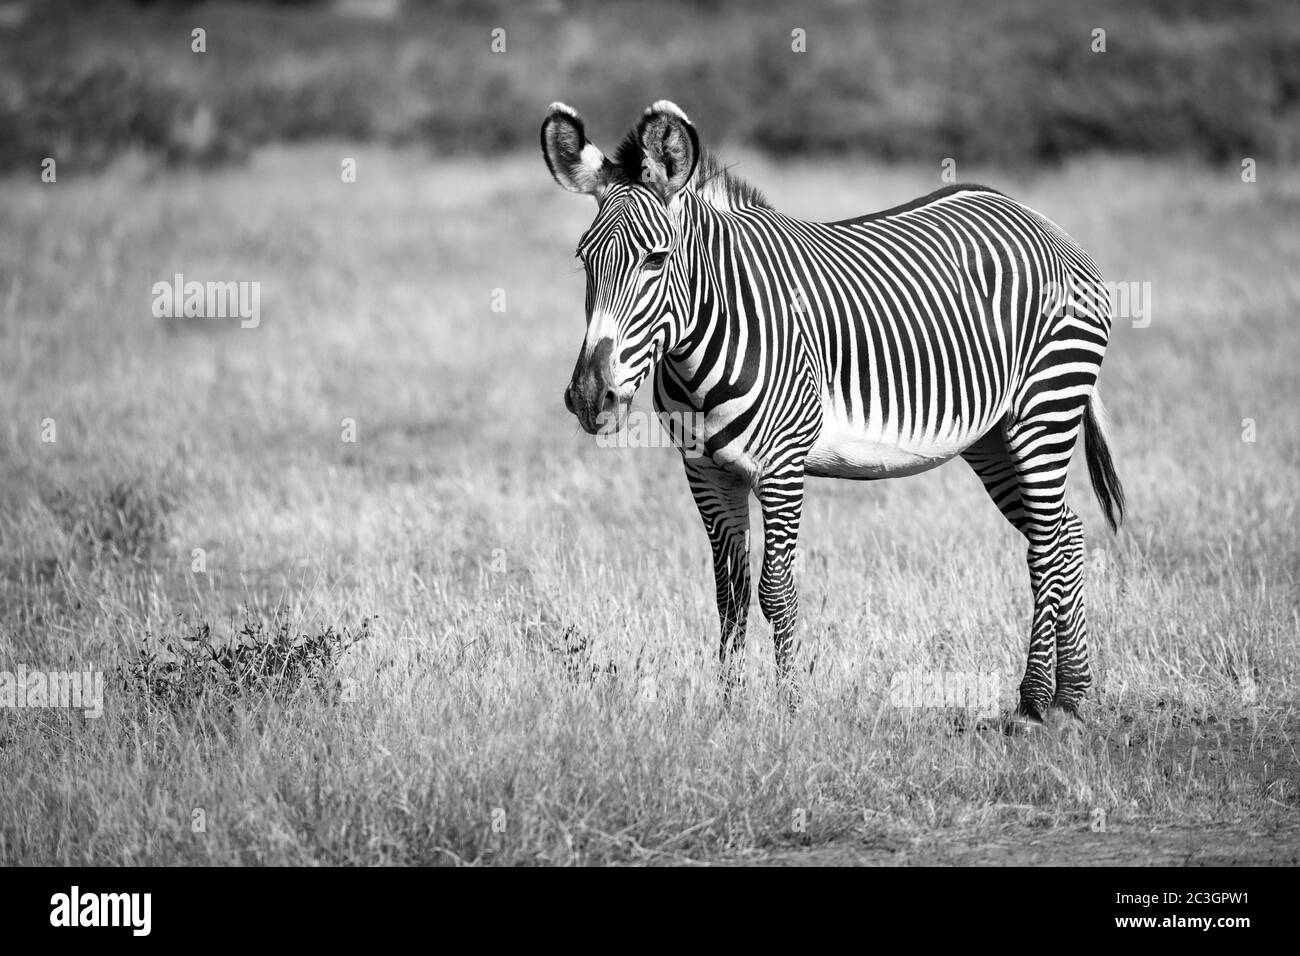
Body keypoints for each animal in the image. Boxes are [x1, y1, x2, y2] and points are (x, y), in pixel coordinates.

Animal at [541, 100, 1125, 725]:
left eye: (656, 259)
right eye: (584, 260)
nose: (589, 396)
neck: (704, 337)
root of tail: (1040, 220)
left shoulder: (782, 466)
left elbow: (775, 591)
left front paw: (791, 709)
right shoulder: (705, 471)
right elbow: (729, 595)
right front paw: (729, 711)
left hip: (1046, 406)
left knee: (1047, 547)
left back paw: (1036, 703)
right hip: (992, 437)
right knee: (1064, 533)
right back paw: (1070, 695)